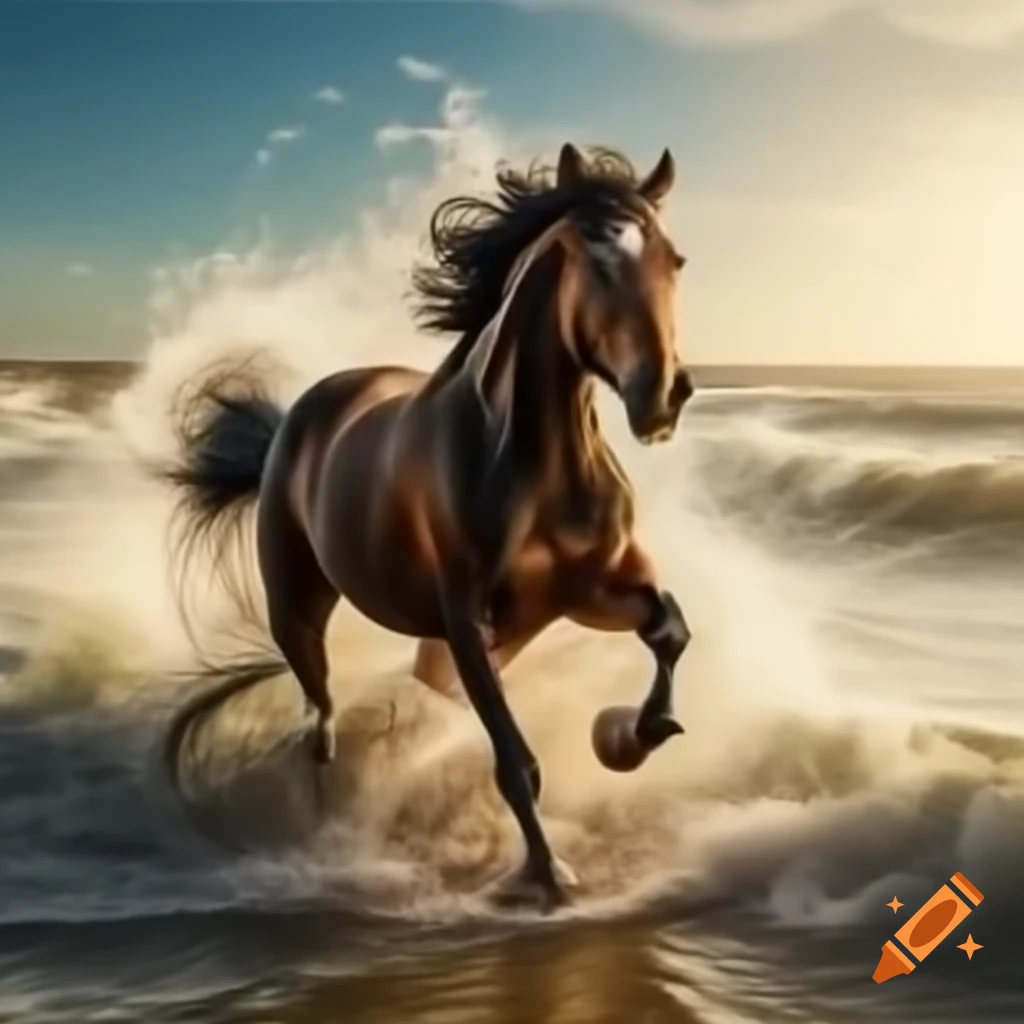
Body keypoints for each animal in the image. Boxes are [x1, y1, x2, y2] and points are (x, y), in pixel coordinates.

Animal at [156, 143, 694, 910]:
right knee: (319, 723)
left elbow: (669, 631)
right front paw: (550, 877)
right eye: (594, 252)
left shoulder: (590, 593)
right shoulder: (469, 622)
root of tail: (297, 417)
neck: (535, 464)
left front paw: (628, 736)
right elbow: (516, 763)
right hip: (298, 611)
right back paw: (324, 831)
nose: (663, 396)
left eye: (674, 260)